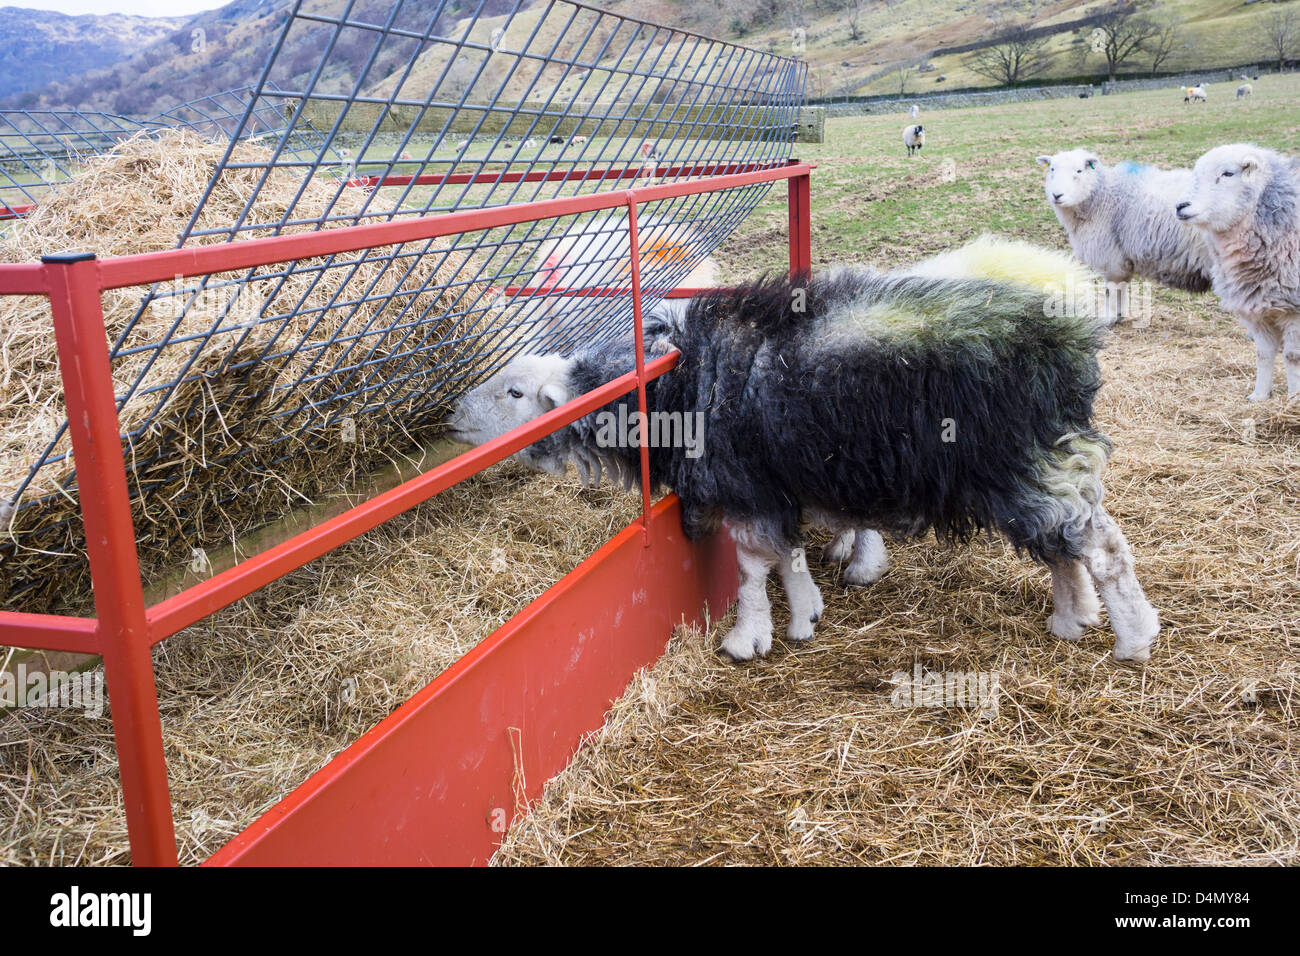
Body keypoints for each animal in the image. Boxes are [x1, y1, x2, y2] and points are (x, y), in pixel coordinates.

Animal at [448, 238, 1161, 663]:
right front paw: (804, 615)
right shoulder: (773, 481)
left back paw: (1132, 636)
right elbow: (787, 556)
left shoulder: (742, 484)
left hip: (1023, 458)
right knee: (1061, 543)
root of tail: (1068, 333)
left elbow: (751, 569)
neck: (667, 384)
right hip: (1033, 465)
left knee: (1101, 545)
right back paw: (1071, 616)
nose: (452, 420)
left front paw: (746, 638)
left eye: (513, 392)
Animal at [1037, 149, 1214, 324]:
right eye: (1052, 169)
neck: (1103, 196)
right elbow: (1122, 288)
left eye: (1079, 171)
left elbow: (1111, 291)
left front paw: (1107, 318)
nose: (1057, 195)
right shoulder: (1122, 261)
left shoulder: (1111, 258)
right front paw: (1120, 314)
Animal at [1176, 143, 1300, 401]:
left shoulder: (1295, 310)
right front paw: (1259, 396)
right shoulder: (1257, 309)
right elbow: (1263, 354)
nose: (1180, 206)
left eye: (1228, 174)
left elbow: (1293, 356)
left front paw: (1294, 397)